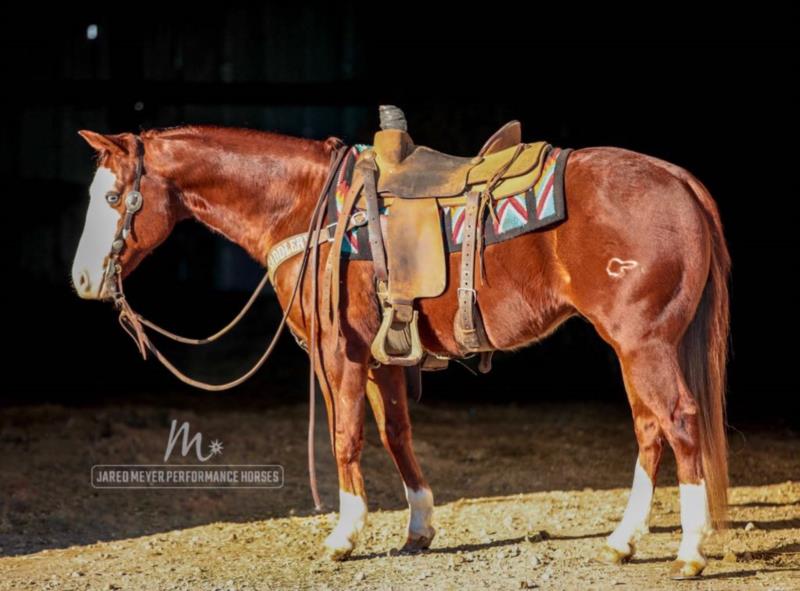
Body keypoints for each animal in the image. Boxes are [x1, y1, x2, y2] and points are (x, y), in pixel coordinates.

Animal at [71, 123, 730, 579]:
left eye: (113, 200)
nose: (81, 280)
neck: (306, 204)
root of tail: (678, 179)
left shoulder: (339, 352)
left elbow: (346, 436)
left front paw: (344, 535)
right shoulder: (386, 357)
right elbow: (396, 434)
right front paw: (419, 527)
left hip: (644, 344)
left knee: (680, 422)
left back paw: (690, 551)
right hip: (634, 349)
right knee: (650, 429)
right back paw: (624, 540)